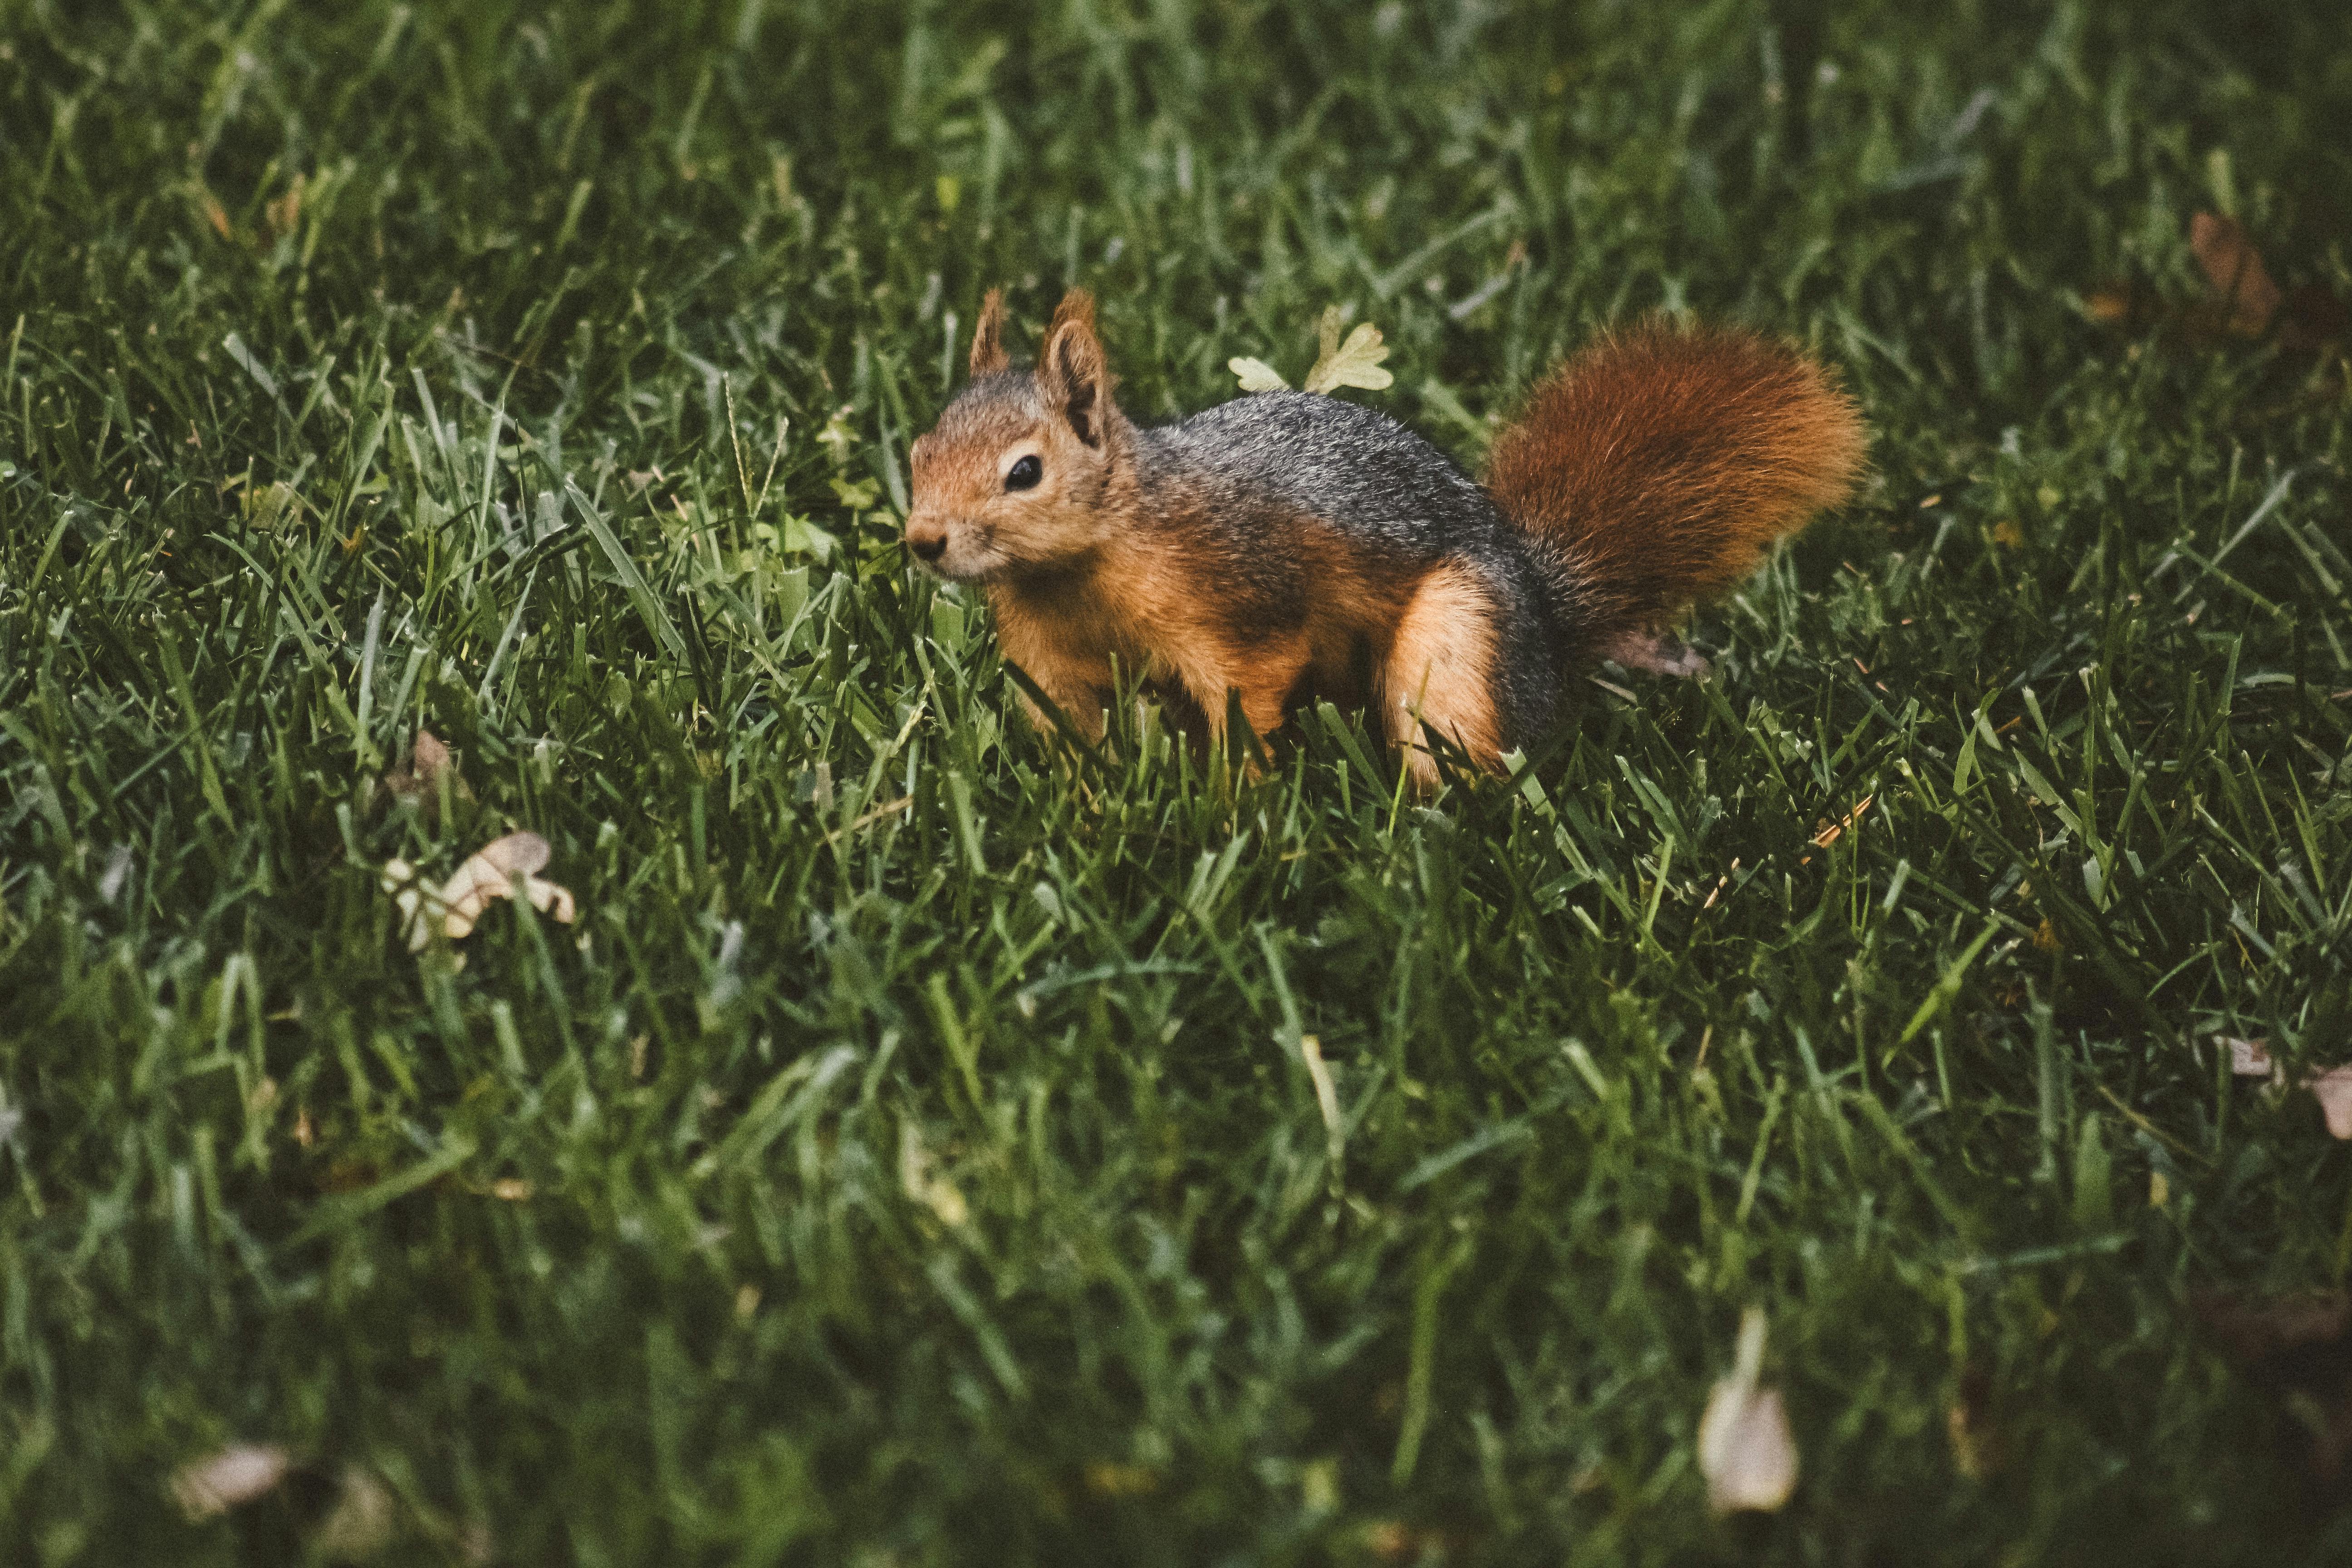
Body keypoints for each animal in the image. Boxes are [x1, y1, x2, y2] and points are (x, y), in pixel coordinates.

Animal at [905, 288, 1866, 790]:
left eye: (1024, 472)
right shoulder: (1047, 658)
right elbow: (1071, 734)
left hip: (1458, 641)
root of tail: (1545, 622)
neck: (1081, 569)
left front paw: (1232, 807)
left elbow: (1248, 697)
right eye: (917, 449)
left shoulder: (1242, 599)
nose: (923, 541)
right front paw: (1087, 804)